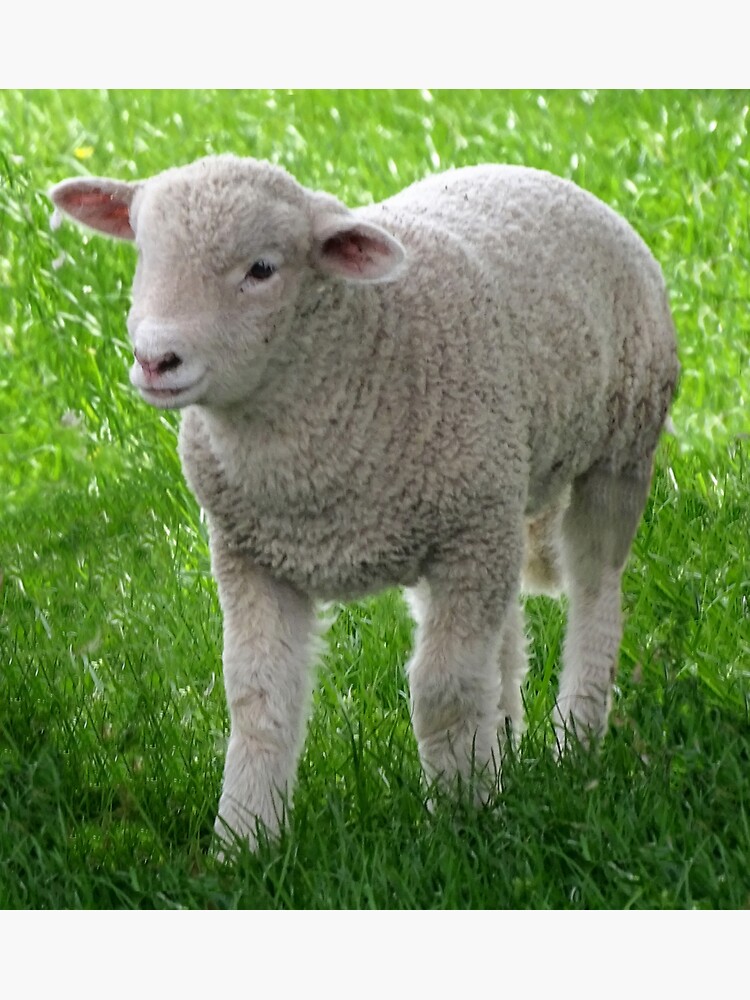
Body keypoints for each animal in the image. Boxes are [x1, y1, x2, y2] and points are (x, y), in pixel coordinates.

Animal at [49, 154, 679, 849]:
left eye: (262, 269)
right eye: (143, 254)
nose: (156, 359)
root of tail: (530, 170)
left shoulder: (466, 535)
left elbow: (445, 692)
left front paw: (460, 822)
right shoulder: (251, 552)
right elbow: (259, 697)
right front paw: (244, 841)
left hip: (614, 450)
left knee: (596, 592)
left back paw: (576, 742)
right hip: (494, 492)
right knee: (505, 633)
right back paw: (508, 749)